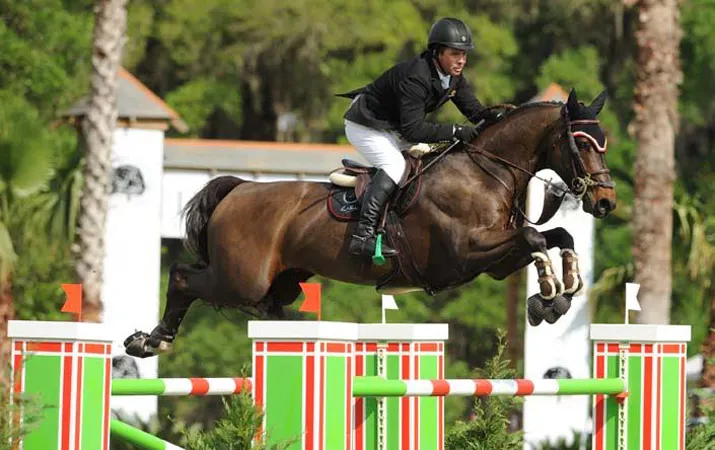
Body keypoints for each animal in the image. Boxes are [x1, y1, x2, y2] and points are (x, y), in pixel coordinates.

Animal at [125, 88, 616, 358]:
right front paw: (549, 293)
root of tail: (239, 189)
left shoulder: (494, 261)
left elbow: (557, 234)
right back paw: (150, 340)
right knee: (183, 276)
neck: (485, 171)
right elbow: (534, 236)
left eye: (604, 142)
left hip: (279, 282)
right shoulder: (464, 255)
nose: (606, 201)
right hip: (241, 278)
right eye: (581, 143)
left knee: (263, 305)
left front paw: (560, 294)